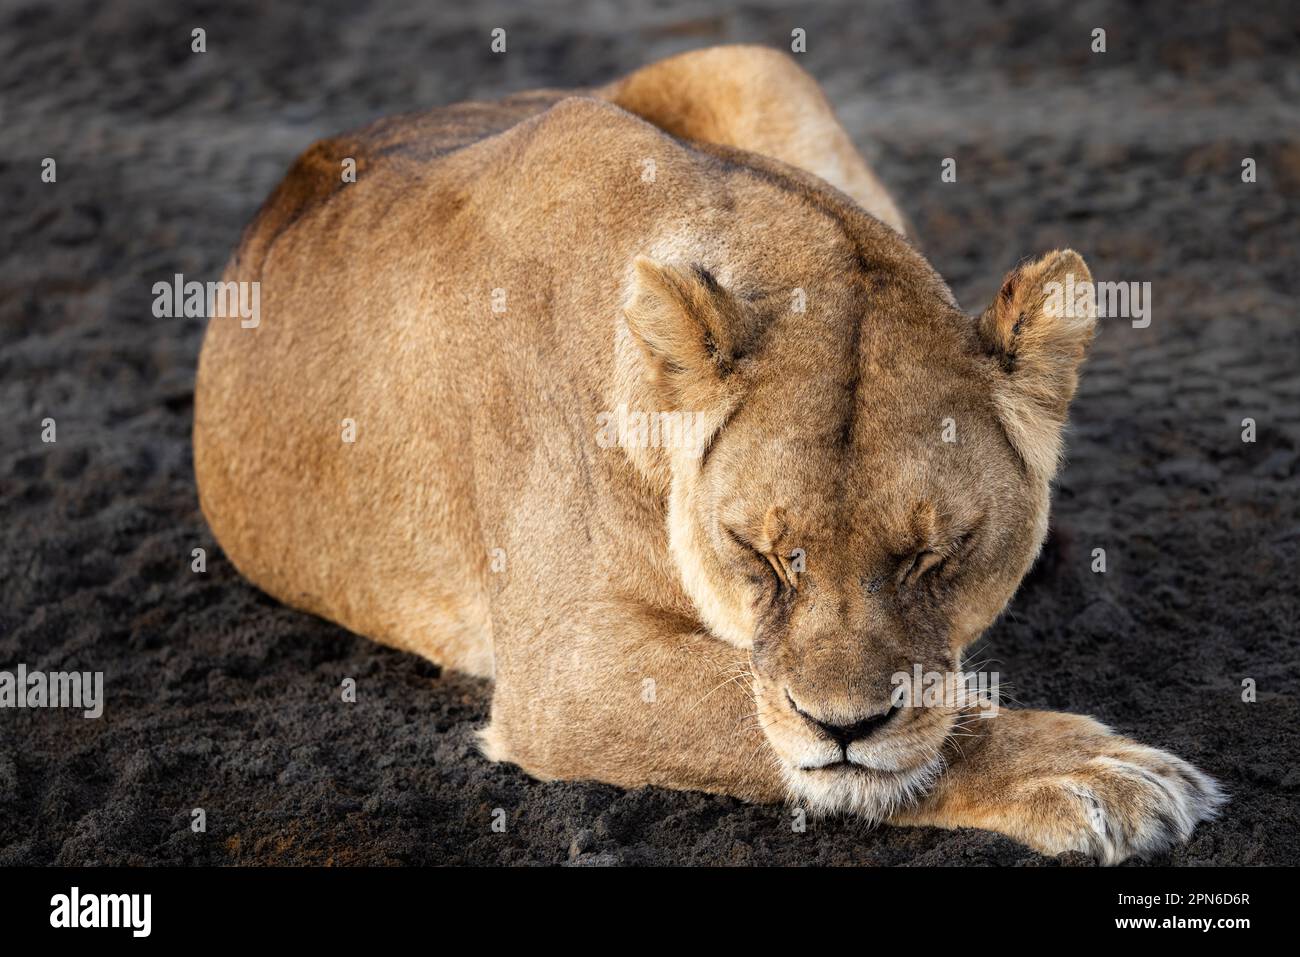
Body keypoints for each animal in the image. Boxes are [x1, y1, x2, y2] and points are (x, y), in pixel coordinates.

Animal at [194, 45, 1223, 864]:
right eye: (763, 553)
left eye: (936, 555)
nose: (845, 728)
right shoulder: (567, 673)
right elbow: (765, 708)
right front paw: (1085, 768)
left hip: (757, 61)